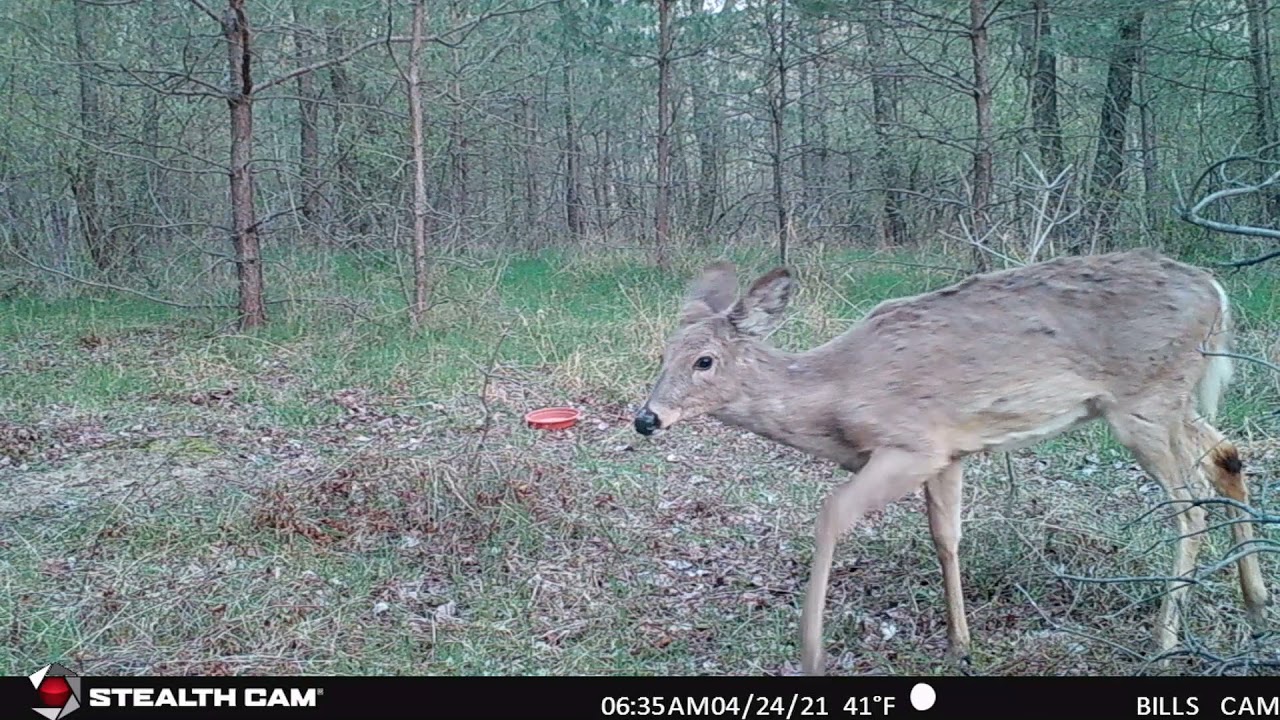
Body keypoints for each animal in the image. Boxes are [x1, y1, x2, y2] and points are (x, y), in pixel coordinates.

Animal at [632, 248, 1269, 675]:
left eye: (705, 361)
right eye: (664, 354)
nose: (646, 418)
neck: (835, 396)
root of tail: (1217, 291)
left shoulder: (913, 444)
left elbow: (830, 514)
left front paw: (810, 654)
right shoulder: (950, 453)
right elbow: (946, 537)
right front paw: (960, 645)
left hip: (1145, 400)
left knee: (1187, 506)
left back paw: (1164, 643)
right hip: (1174, 399)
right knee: (1227, 455)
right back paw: (1256, 605)